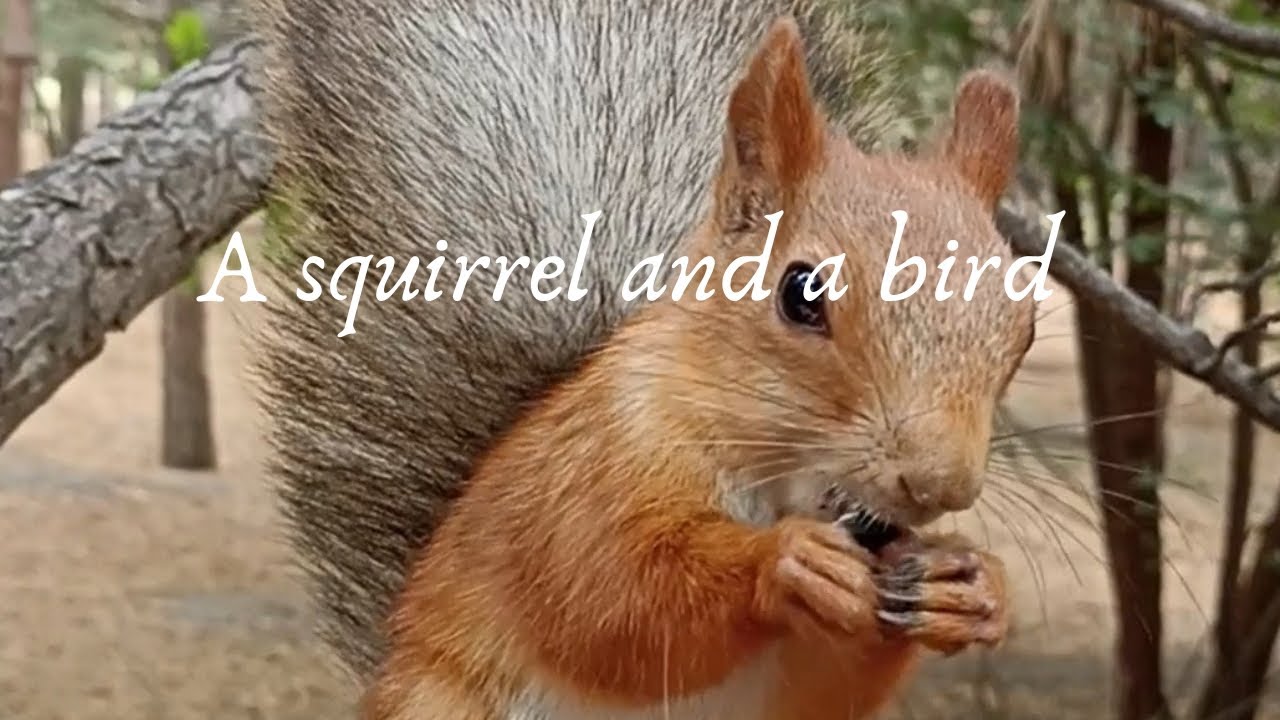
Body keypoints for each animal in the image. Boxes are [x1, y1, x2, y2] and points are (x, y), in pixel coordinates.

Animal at [248, 1, 1035, 718]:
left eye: (1024, 327)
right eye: (800, 294)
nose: (940, 483)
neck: (779, 485)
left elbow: (822, 686)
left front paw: (975, 587)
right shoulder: (587, 477)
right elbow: (612, 600)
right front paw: (784, 563)